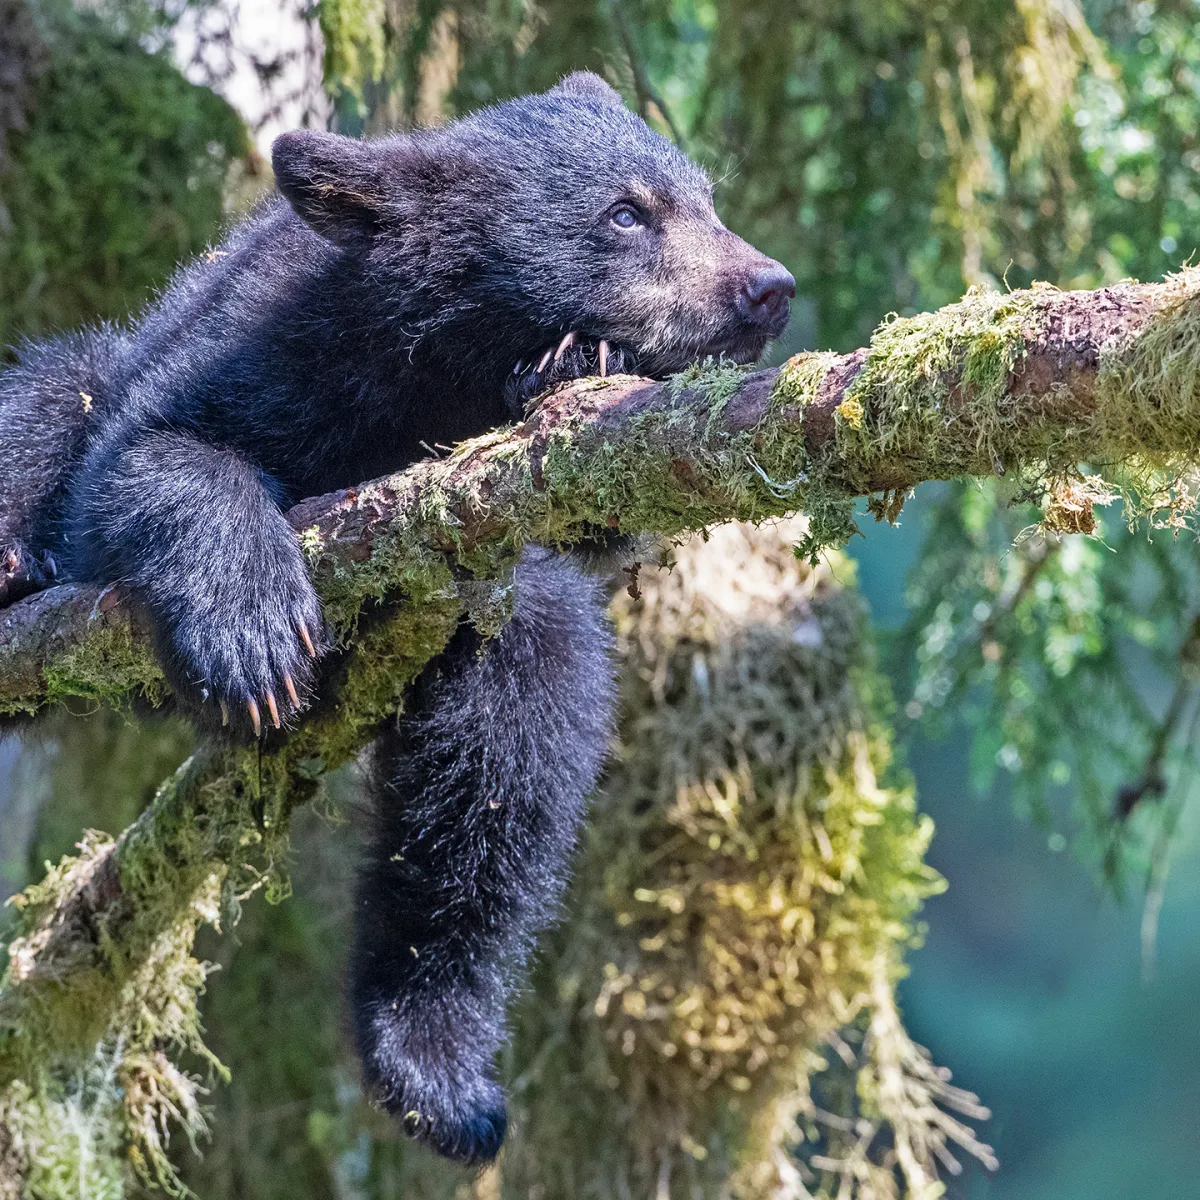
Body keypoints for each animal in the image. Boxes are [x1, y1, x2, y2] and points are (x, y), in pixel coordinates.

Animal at [0, 71, 794, 1163]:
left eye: (707, 198)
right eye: (627, 213)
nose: (768, 286)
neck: (438, 367)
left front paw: (565, 365)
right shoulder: (270, 341)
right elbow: (139, 460)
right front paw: (252, 631)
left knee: (502, 777)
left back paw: (435, 1066)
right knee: (52, 390)